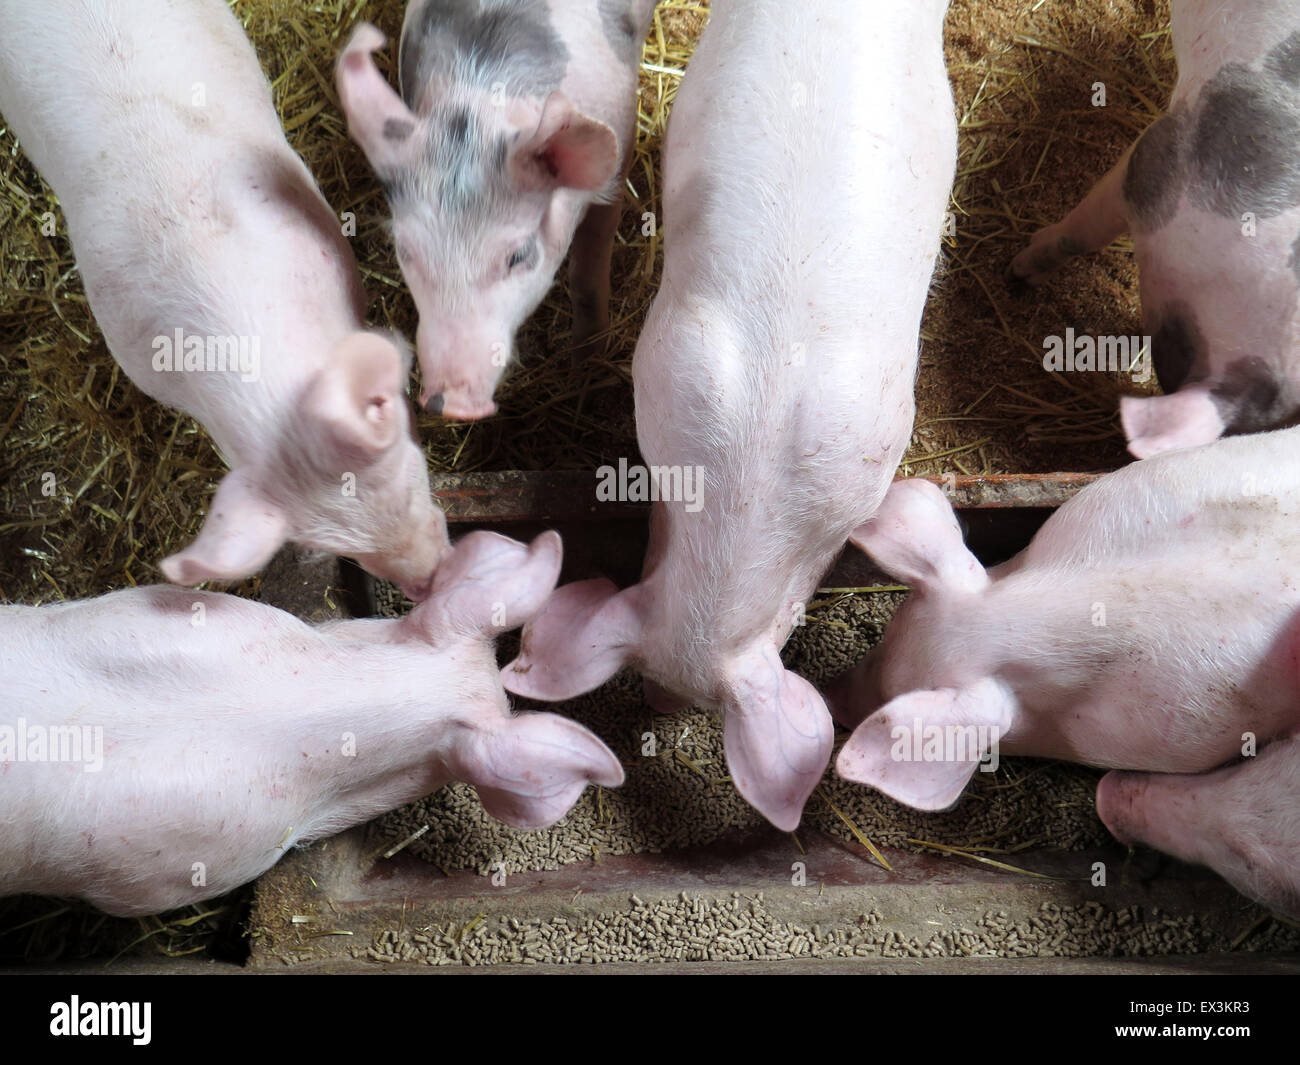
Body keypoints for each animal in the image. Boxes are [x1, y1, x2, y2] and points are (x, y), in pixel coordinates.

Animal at [335, 0, 658, 419]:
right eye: (405, 251)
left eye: (519, 255)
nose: (450, 404)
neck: (481, 110)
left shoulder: (619, 154)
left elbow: (587, 276)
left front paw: (587, 373)